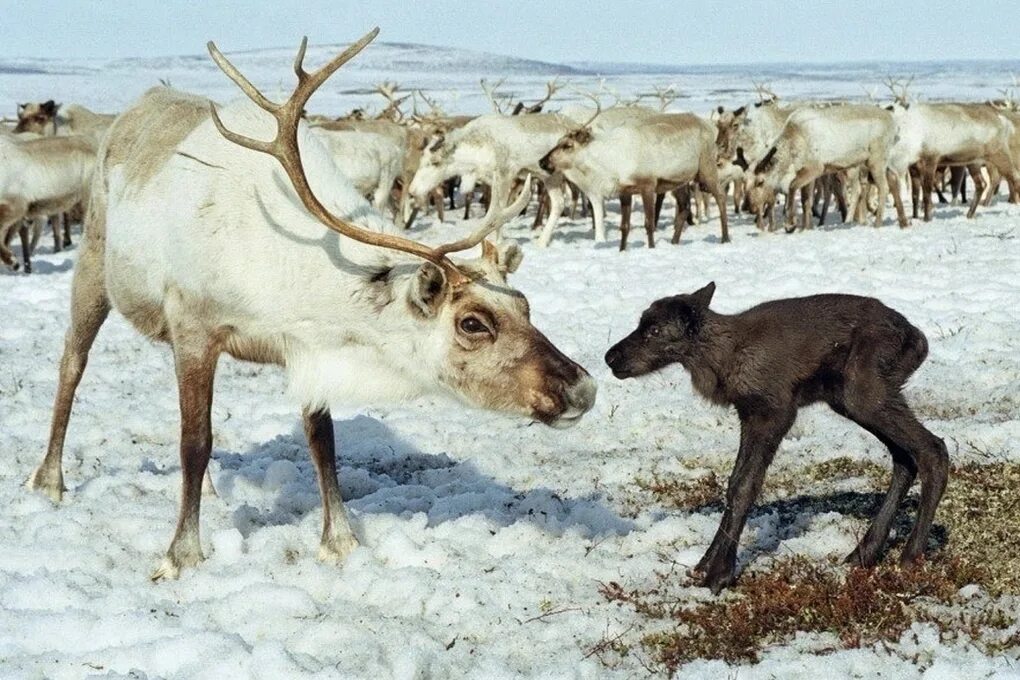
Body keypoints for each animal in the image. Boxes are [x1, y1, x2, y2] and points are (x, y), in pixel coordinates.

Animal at [603, 285, 946, 591]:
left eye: (654, 329)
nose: (610, 358)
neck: (722, 362)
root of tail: (920, 340)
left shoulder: (773, 411)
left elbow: (746, 486)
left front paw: (719, 574)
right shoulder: (747, 414)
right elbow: (733, 484)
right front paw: (704, 563)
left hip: (865, 391)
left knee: (933, 448)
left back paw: (910, 556)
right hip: (850, 399)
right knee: (904, 457)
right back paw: (863, 553)